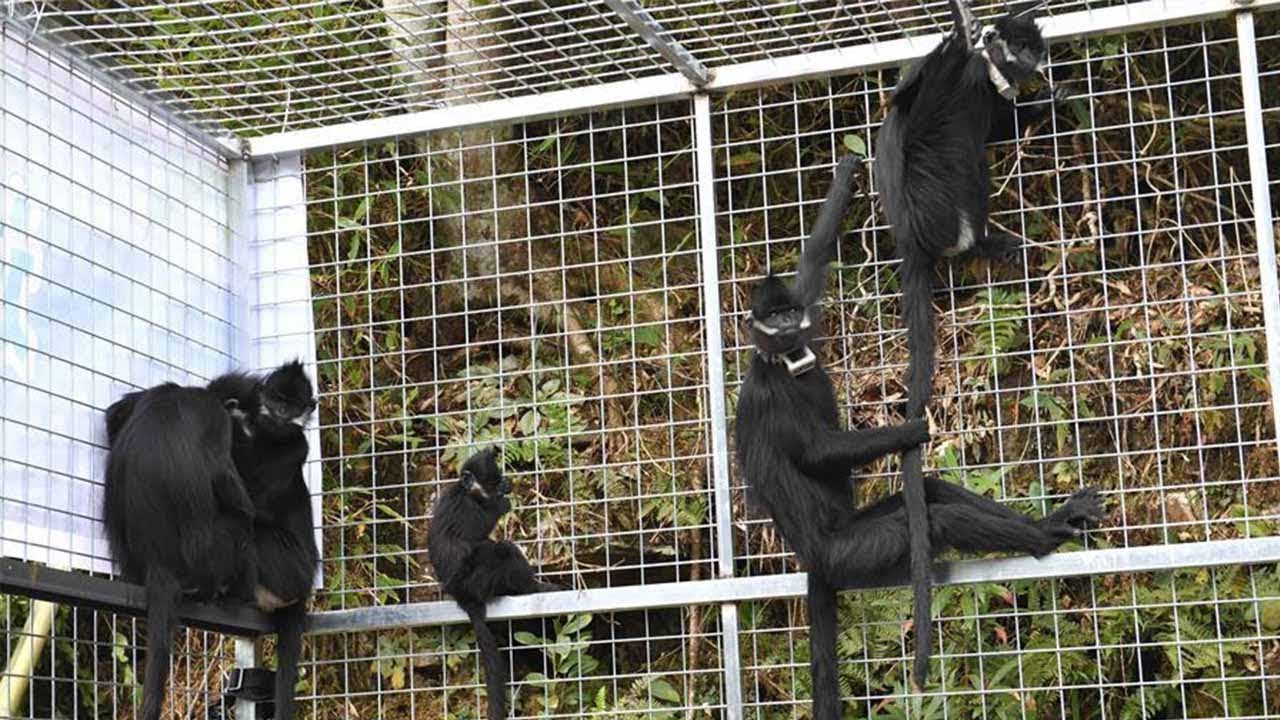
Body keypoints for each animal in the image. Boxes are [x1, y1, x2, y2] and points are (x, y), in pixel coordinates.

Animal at [102, 383, 259, 720]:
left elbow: (114, 416)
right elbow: (222, 475)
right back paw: (240, 595)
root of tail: (157, 563)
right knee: (240, 534)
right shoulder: (216, 419)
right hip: (208, 565)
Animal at [207, 360, 320, 720]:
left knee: (253, 531)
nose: (278, 413)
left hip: (288, 575)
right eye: (274, 401)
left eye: (290, 406)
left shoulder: (297, 445)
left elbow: (252, 504)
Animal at [426, 449, 561, 720]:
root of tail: (462, 596)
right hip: (478, 579)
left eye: (499, 480)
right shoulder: (464, 506)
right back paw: (534, 587)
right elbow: (472, 534)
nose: (502, 488)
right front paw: (501, 505)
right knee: (501, 550)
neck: (468, 493)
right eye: (492, 484)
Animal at [734, 155, 1103, 719]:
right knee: (933, 520)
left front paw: (846, 175)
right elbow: (816, 453)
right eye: (772, 317)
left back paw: (1051, 519)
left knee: (931, 493)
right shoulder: (767, 395)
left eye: (788, 312)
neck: (785, 361)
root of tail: (814, 557)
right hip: (854, 552)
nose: (787, 321)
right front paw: (913, 426)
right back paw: (1045, 536)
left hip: (861, 533)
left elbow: (814, 261)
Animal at [873, 0, 1066, 688]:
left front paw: (1045, 102)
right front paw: (960, 27)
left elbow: (1005, 122)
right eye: (1021, 46)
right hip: (935, 189)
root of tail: (908, 232)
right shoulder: (957, 79)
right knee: (952, 149)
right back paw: (983, 240)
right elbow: (925, 87)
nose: (1030, 61)